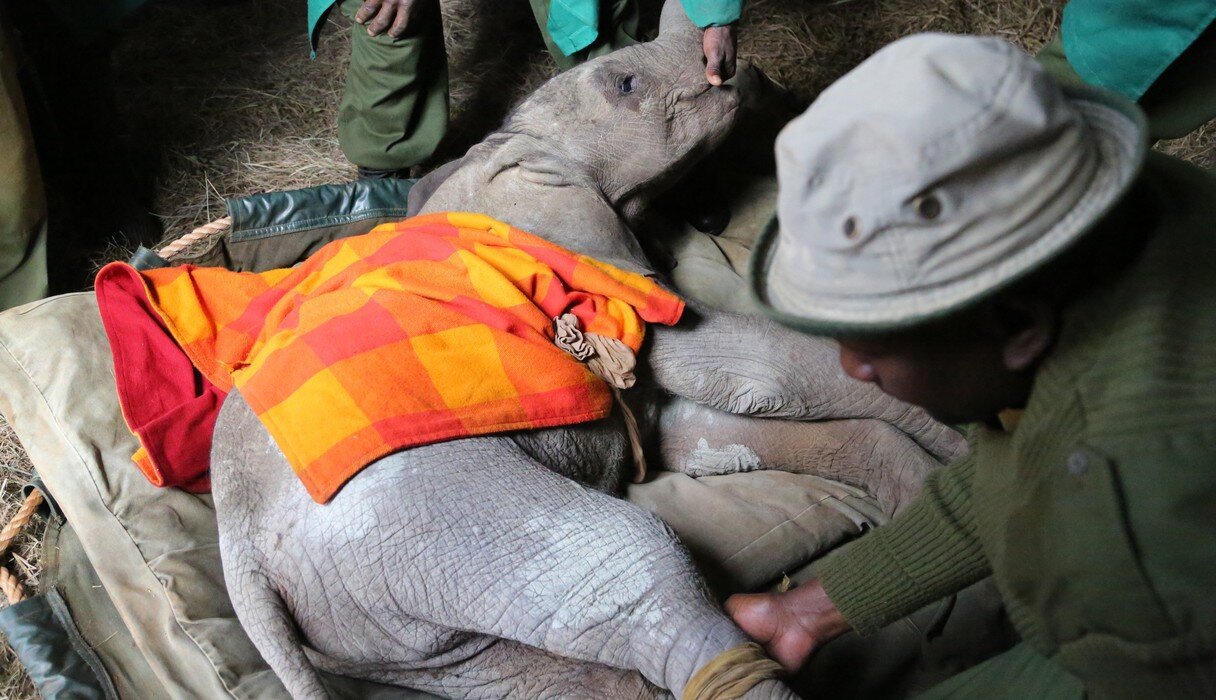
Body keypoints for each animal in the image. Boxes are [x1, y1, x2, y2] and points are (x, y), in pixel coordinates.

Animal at [211, 3, 963, 698]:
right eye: (626, 83)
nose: (726, 57)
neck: (505, 150)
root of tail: (244, 566)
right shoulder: (584, 260)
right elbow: (757, 368)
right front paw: (965, 445)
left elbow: (705, 428)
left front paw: (942, 488)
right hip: (436, 518)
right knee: (637, 565)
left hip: (387, 622)